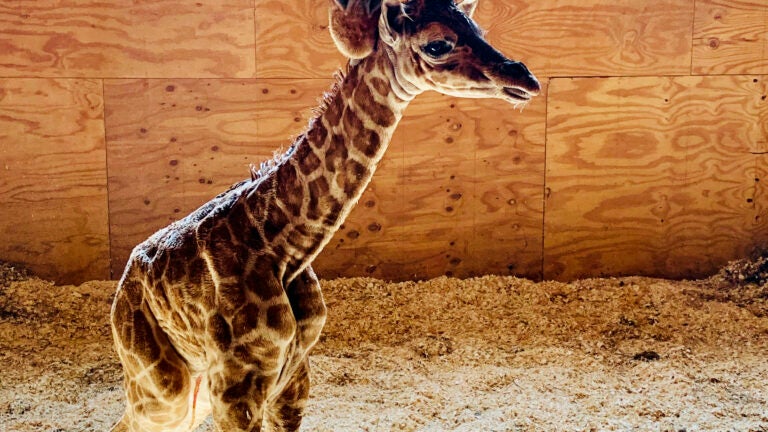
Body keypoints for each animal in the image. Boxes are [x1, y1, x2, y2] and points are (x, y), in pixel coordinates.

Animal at [109, 0, 539, 430]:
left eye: (478, 29)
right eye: (437, 44)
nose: (526, 78)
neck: (283, 247)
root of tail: (120, 293)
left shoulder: (294, 376)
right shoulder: (235, 386)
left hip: (189, 394)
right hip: (164, 387)